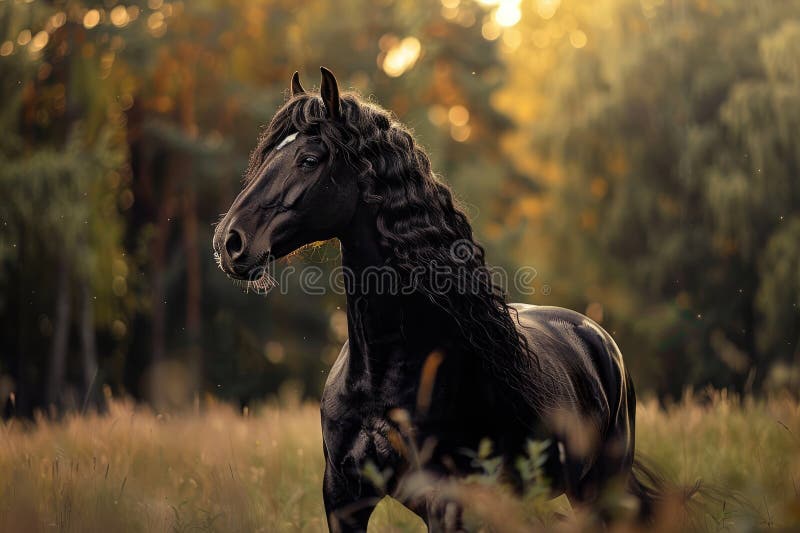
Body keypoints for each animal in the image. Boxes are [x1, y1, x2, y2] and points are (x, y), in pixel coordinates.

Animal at [213, 67, 655, 532]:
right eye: (266, 157)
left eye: (309, 160)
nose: (230, 242)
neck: (381, 373)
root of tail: (595, 337)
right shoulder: (342, 498)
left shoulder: (447, 505)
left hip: (599, 489)